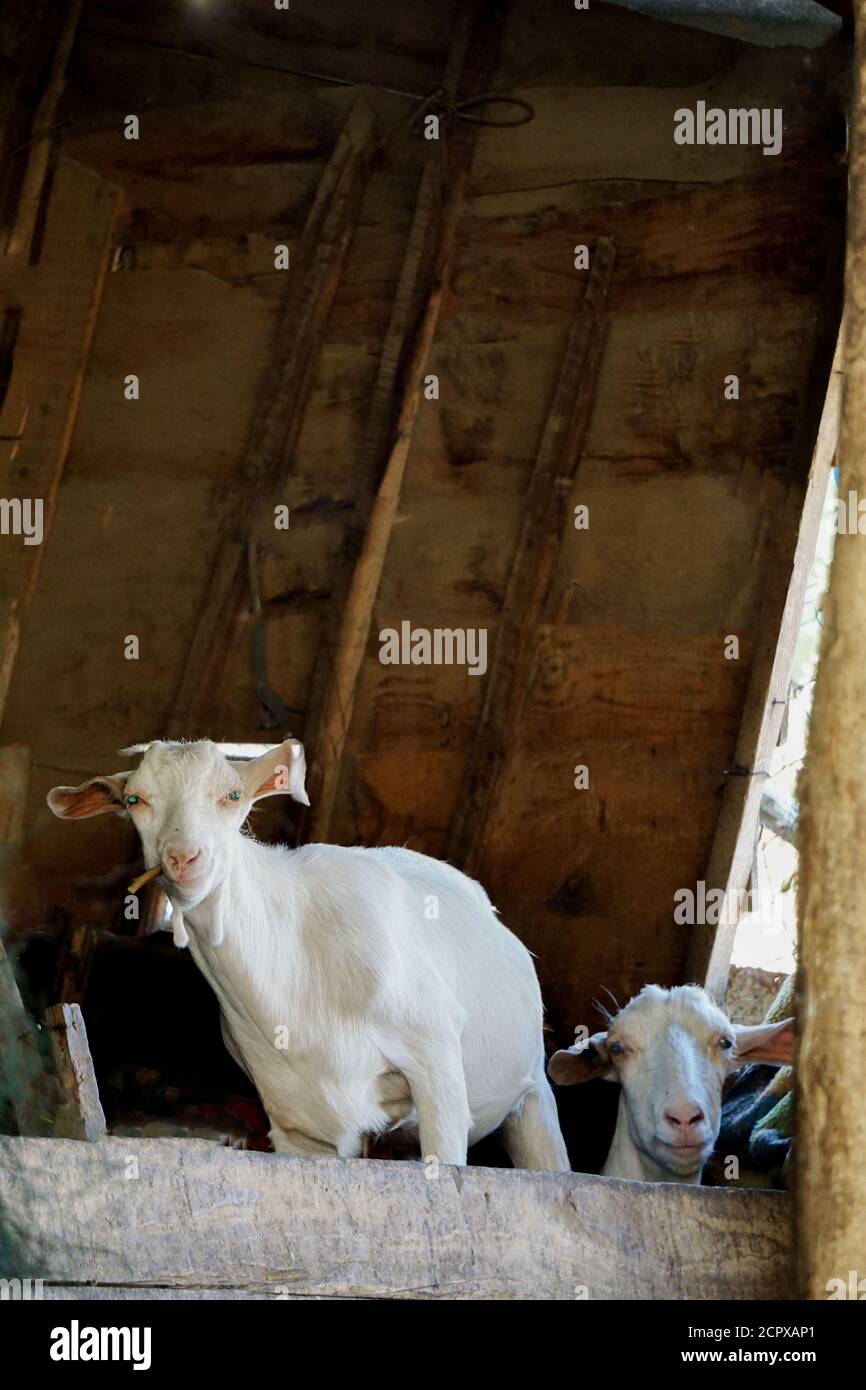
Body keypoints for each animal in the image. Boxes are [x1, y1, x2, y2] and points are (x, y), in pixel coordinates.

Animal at [48, 738, 569, 1171]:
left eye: (232, 795)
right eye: (135, 800)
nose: (184, 858)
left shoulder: (434, 1057)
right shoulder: (298, 1125)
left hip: (532, 1095)